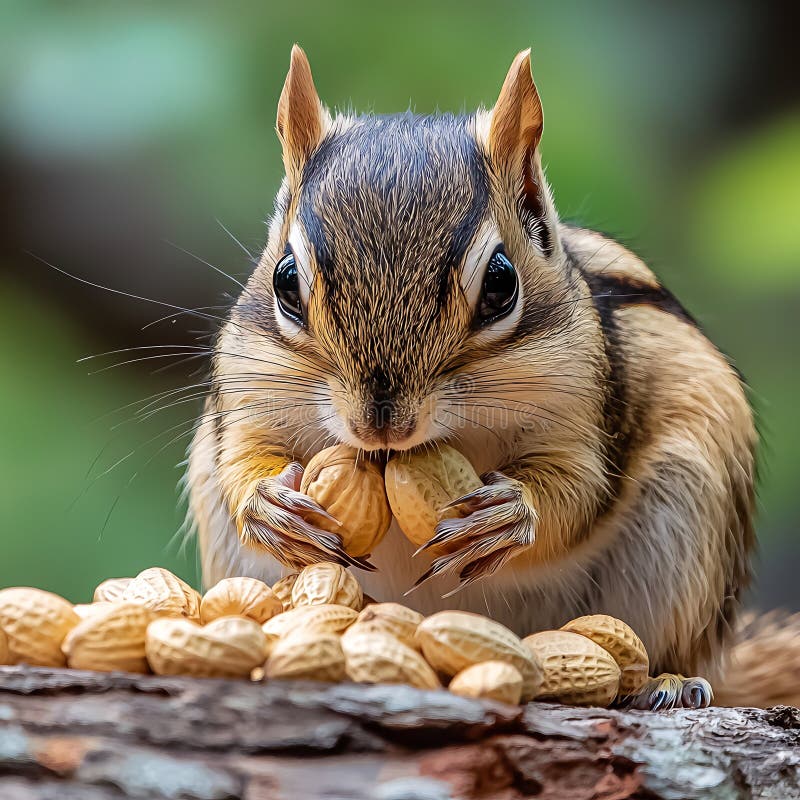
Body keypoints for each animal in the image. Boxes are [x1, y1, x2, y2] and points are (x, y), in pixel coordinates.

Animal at [188, 46, 798, 710]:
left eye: (501, 283)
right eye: (285, 280)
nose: (381, 426)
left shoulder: (585, 411)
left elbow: (578, 492)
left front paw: (511, 512)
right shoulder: (247, 395)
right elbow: (242, 460)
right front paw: (269, 504)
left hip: (687, 516)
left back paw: (668, 681)